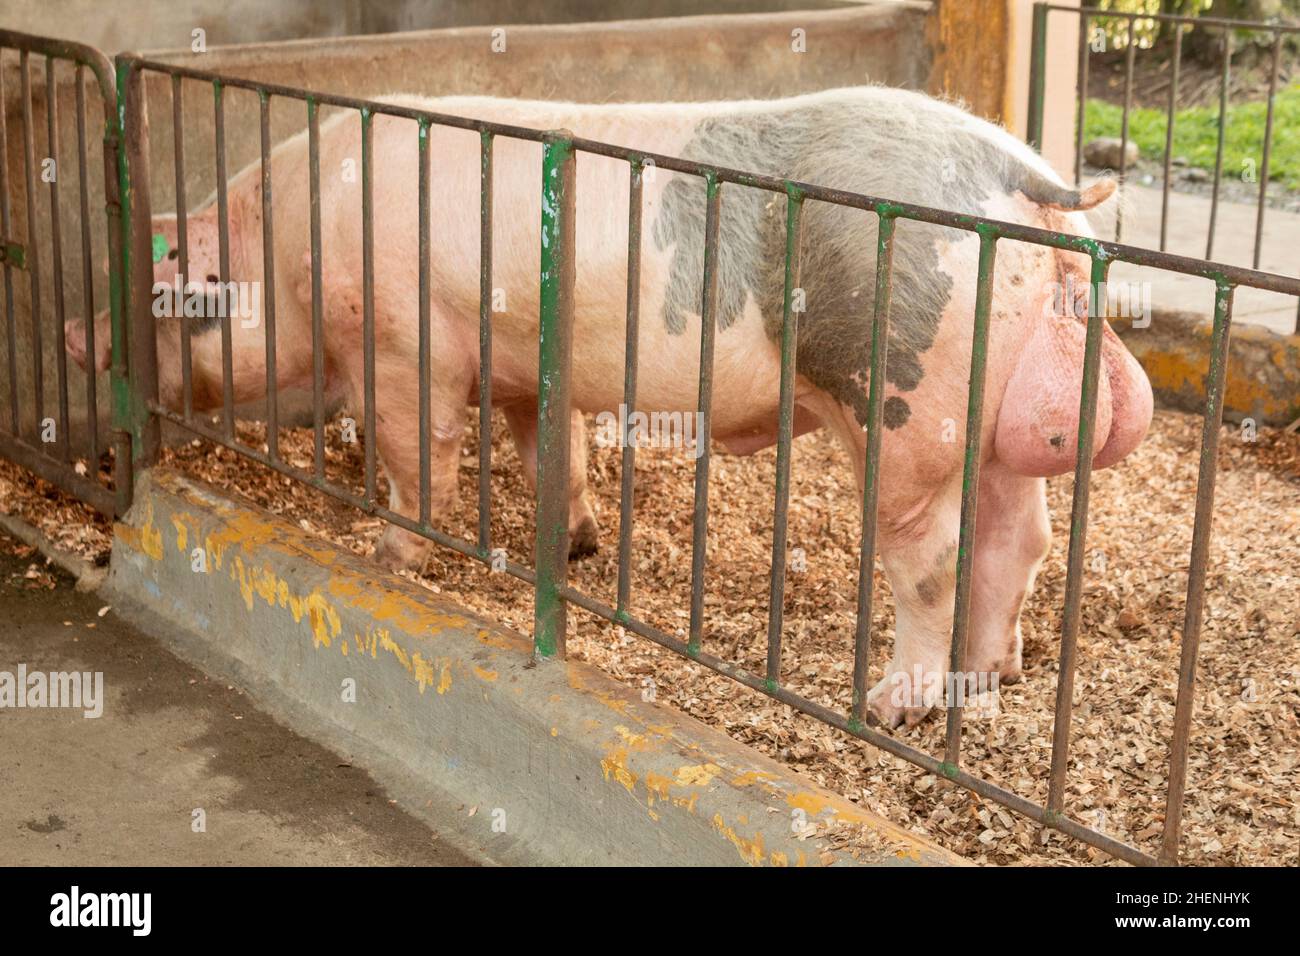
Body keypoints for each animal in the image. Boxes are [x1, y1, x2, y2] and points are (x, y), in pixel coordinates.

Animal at [67, 86, 1153, 729]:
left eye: (170, 298)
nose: (78, 332)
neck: (289, 248)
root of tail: (1014, 166)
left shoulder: (401, 348)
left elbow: (419, 455)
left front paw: (390, 550)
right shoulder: (520, 364)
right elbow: (554, 448)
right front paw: (576, 544)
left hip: (898, 395)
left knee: (932, 554)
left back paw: (897, 705)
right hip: (997, 406)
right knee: (1019, 534)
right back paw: (994, 673)